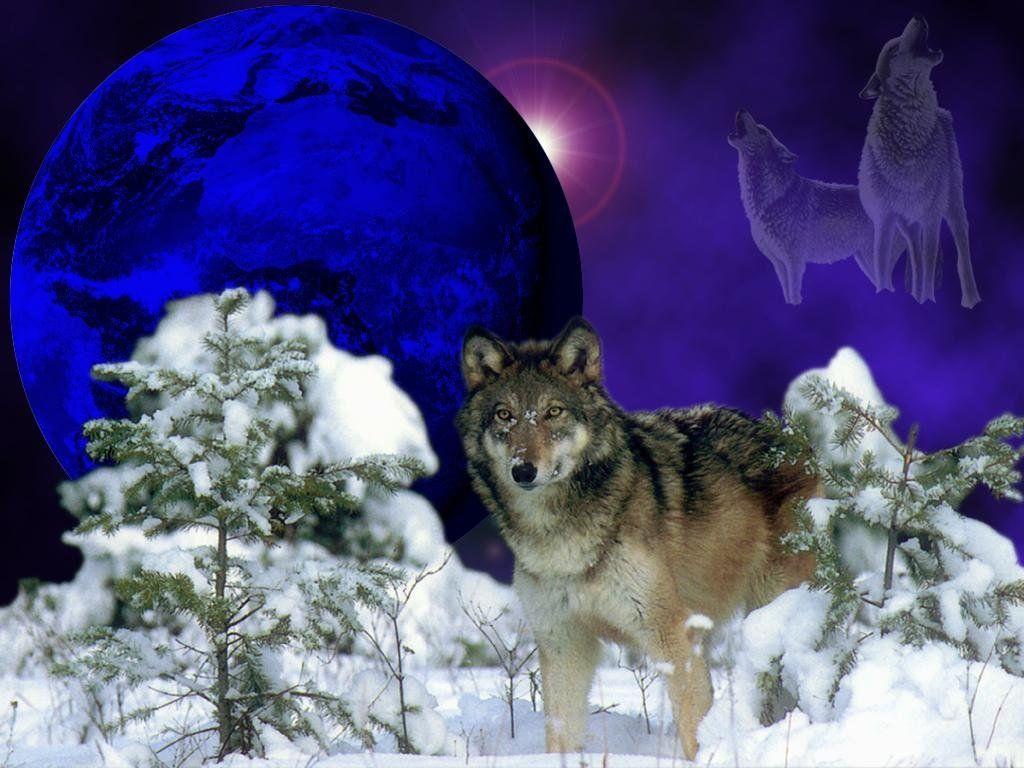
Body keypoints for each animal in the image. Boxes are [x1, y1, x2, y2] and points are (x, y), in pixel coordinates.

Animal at [455, 318, 817, 759]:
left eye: (553, 412)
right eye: (505, 416)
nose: (523, 470)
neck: (559, 537)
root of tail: (791, 439)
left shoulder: (670, 634)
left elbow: (694, 727)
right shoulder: (563, 643)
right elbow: (559, 736)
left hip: (771, 609)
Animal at [729, 108, 881, 304]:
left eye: (762, 131)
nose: (741, 109)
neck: (773, 199)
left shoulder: (794, 261)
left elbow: (794, 293)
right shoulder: (778, 263)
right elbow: (787, 293)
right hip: (862, 258)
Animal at [858, 15, 980, 308]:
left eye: (896, 42)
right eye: (892, 49)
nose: (918, 17)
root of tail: (942, 112)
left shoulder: (931, 216)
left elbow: (928, 262)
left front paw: (926, 300)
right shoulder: (885, 218)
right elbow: (882, 264)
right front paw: (885, 294)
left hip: (951, 204)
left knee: (959, 246)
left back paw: (970, 299)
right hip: (907, 223)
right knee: (915, 255)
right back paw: (913, 295)